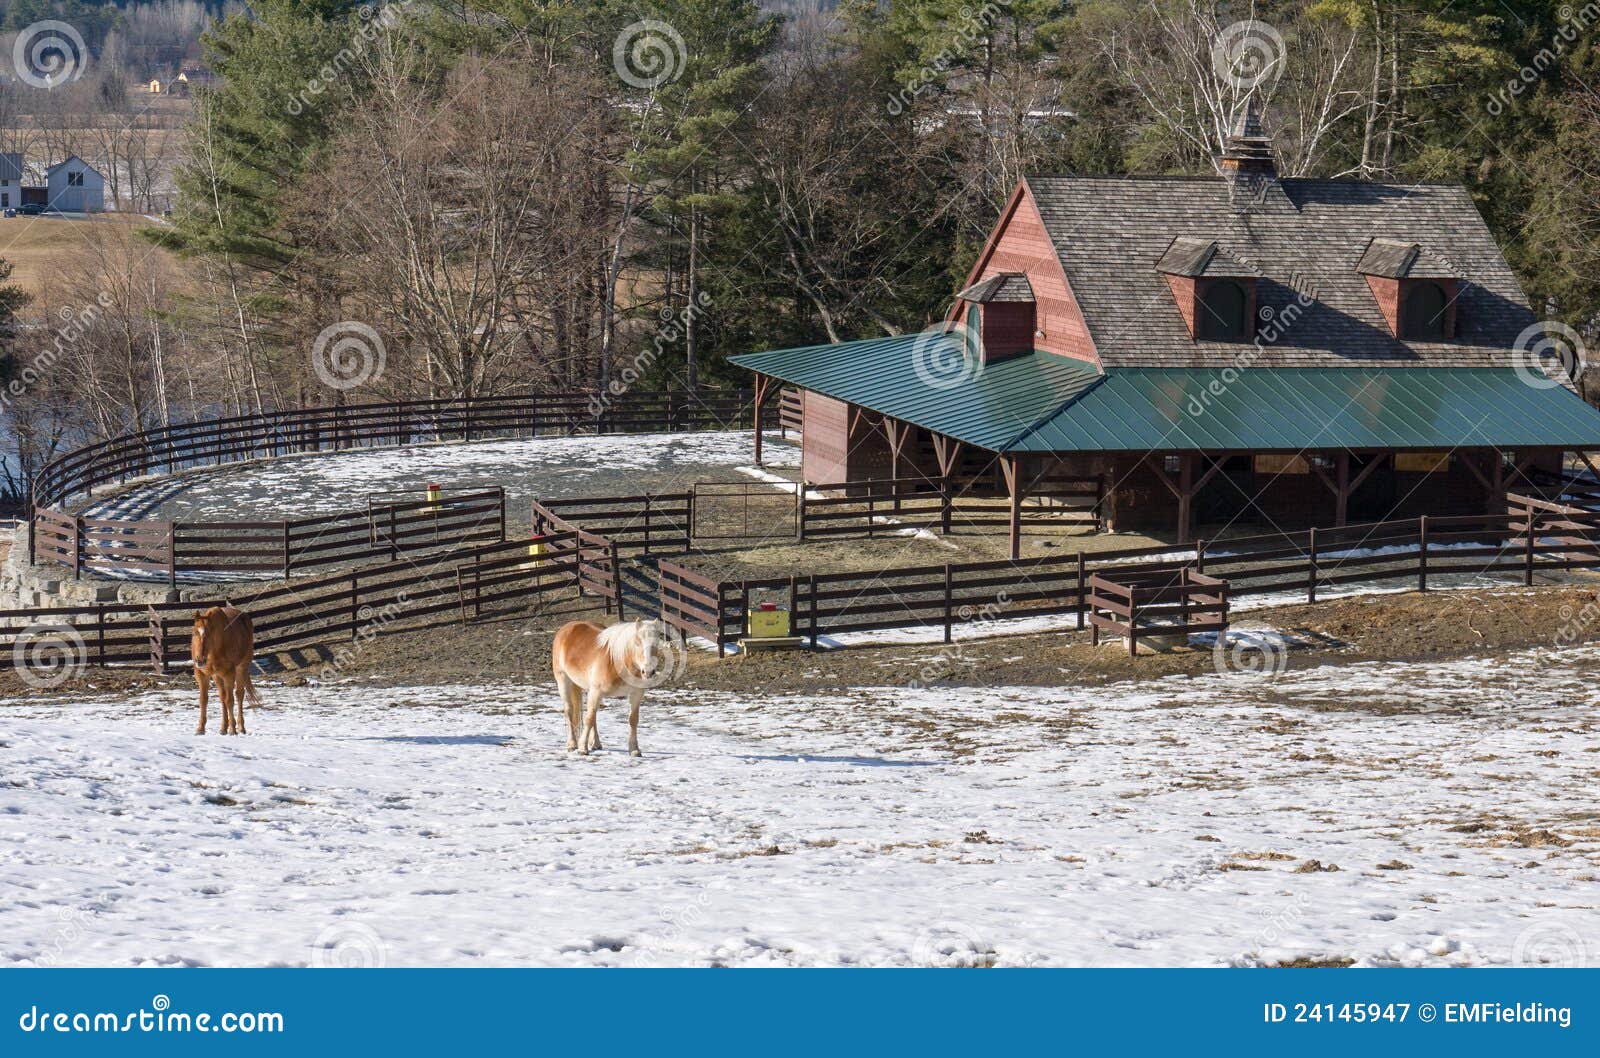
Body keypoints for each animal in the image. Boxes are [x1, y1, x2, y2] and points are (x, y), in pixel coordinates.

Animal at [192, 604, 260, 735]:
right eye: (194, 633)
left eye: (208, 634)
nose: (200, 660)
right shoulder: (202, 675)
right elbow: (203, 700)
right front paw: (200, 728)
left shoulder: (229, 674)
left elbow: (230, 700)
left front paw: (233, 729)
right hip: (217, 675)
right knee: (222, 696)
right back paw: (223, 727)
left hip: (241, 668)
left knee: (239, 695)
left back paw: (240, 727)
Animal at [550, 618, 675, 756]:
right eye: (637, 643)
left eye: (656, 643)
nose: (648, 672)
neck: (616, 661)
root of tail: (567, 627)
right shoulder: (596, 691)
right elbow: (589, 718)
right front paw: (582, 748)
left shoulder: (636, 693)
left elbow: (633, 720)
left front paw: (634, 749)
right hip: (563, 680)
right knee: (569, 710)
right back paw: (572, 744)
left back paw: (596, 744)